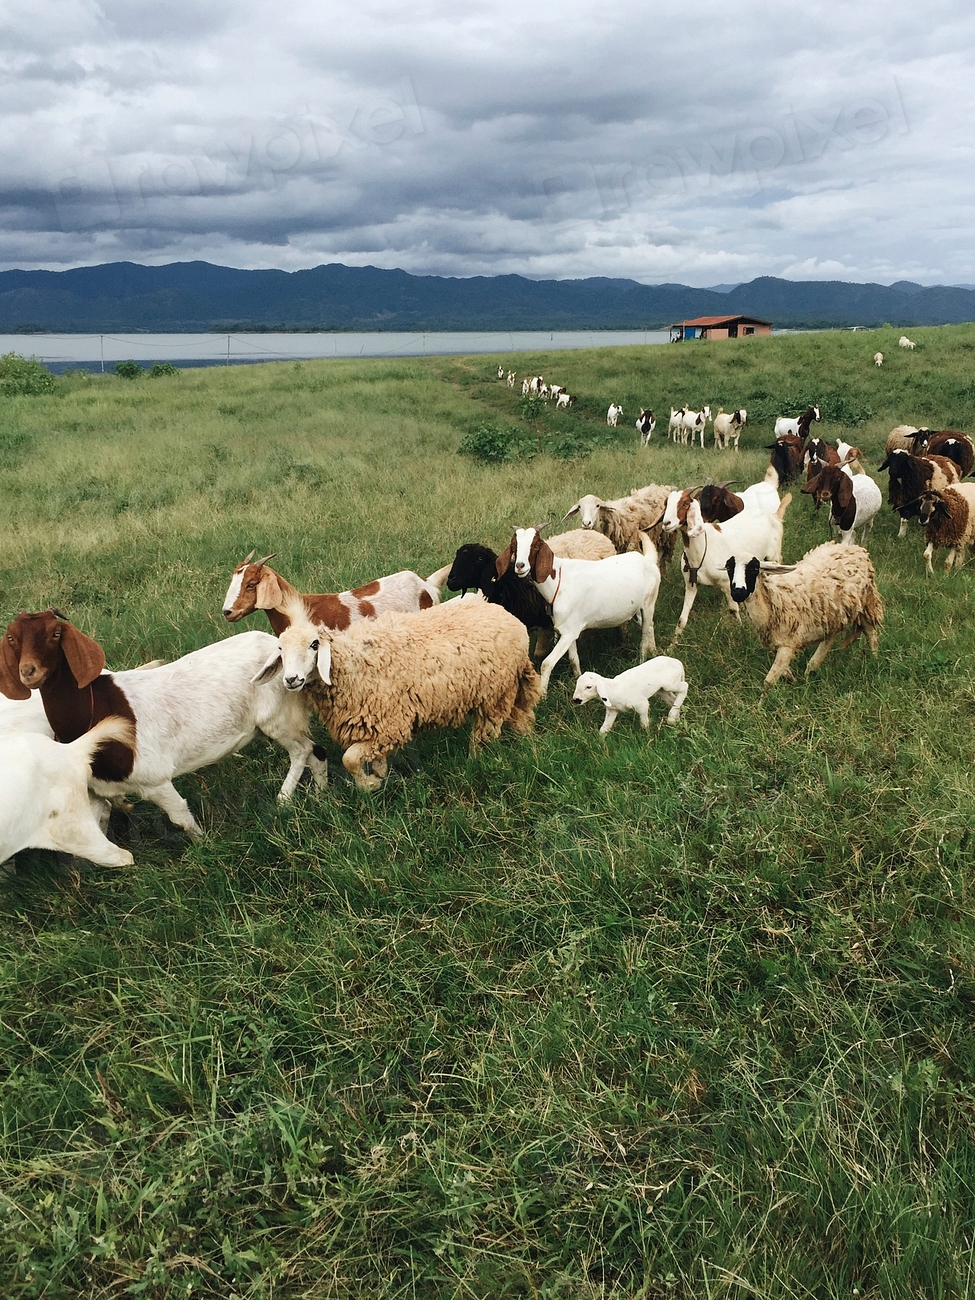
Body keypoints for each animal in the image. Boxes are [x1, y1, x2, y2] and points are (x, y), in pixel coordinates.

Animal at [0, 611, 328, 838]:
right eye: (12, 638)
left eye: (56, 634)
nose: (29, 672)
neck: (93, 710)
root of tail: (276, 645)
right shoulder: (98, 788)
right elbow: (98, 821)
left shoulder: (153, 778)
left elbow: (181, 817)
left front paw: (205, 845)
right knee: (316, 752)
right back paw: (321, 795)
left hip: (279, 715)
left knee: (302, 750)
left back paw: (283, 801)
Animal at [254, 602, 541, 792]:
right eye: (280, 649)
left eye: (315, 645)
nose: (291, 679)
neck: (354, 664)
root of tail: (508, 616)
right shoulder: (374, 728)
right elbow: (371, 759)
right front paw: (381, 776)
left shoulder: (390, 727)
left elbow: (349, 759)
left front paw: (370, 784)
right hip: (505, 691)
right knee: (521, 716)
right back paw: (528, 744)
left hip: (494, 695)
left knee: (483, 734)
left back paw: (476, 760)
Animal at [498, 527, 661, 694]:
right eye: (514, 547)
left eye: (536, 545)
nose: (520, 566)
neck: (558, 581)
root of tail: (647, 560)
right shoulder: (569, 629)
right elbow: (573, 658)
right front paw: (577, 677)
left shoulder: (569, 633)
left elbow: (547, 663)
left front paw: (542, 693)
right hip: (637, 610)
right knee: (649, 626)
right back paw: (654, 651)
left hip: (648, 603)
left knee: (645, 632)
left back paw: (642, 659)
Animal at [661, 490, 790, 639]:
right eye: (666, 503)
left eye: (685, 504)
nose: (666, 523)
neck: (704, 547)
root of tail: (774, 516)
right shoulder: (690, 584)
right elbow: (682, 619)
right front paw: (673, 642)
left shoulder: (726, 583)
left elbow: (733, 610)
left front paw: (741, 630)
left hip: (774, 556)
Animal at [724, 542, 883, 686]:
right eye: (729, 567)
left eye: (755, 568)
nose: (738, 591)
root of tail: (853, 547)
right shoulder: (777, 643)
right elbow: (783, 671)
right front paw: (793, 680)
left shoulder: (788, 643)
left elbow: (768, 682)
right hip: (832, 615)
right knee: (829, 638)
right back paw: (811, 669)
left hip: (867, 603)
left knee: (871, 634)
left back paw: (874, 659)